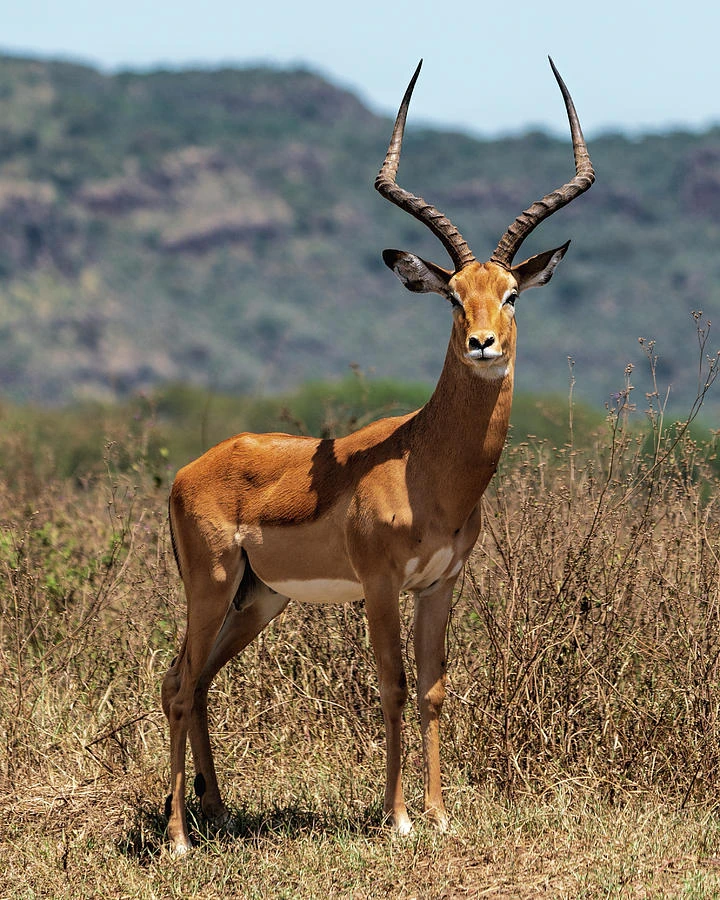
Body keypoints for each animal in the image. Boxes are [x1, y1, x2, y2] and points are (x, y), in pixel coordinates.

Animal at [162, 58, 594, 853]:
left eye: (512, 294)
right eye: (453, 296)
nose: (483, 344)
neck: (426, 467)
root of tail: (190, 470)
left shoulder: (440, 583)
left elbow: (432, 688)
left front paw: (440, 815)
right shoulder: (382, 584)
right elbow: (391, 686)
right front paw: (395, 819)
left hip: (258, 598)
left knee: (198, 681)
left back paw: (220, 812)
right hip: (211, 585)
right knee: (177, 683)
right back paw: (177, 836)